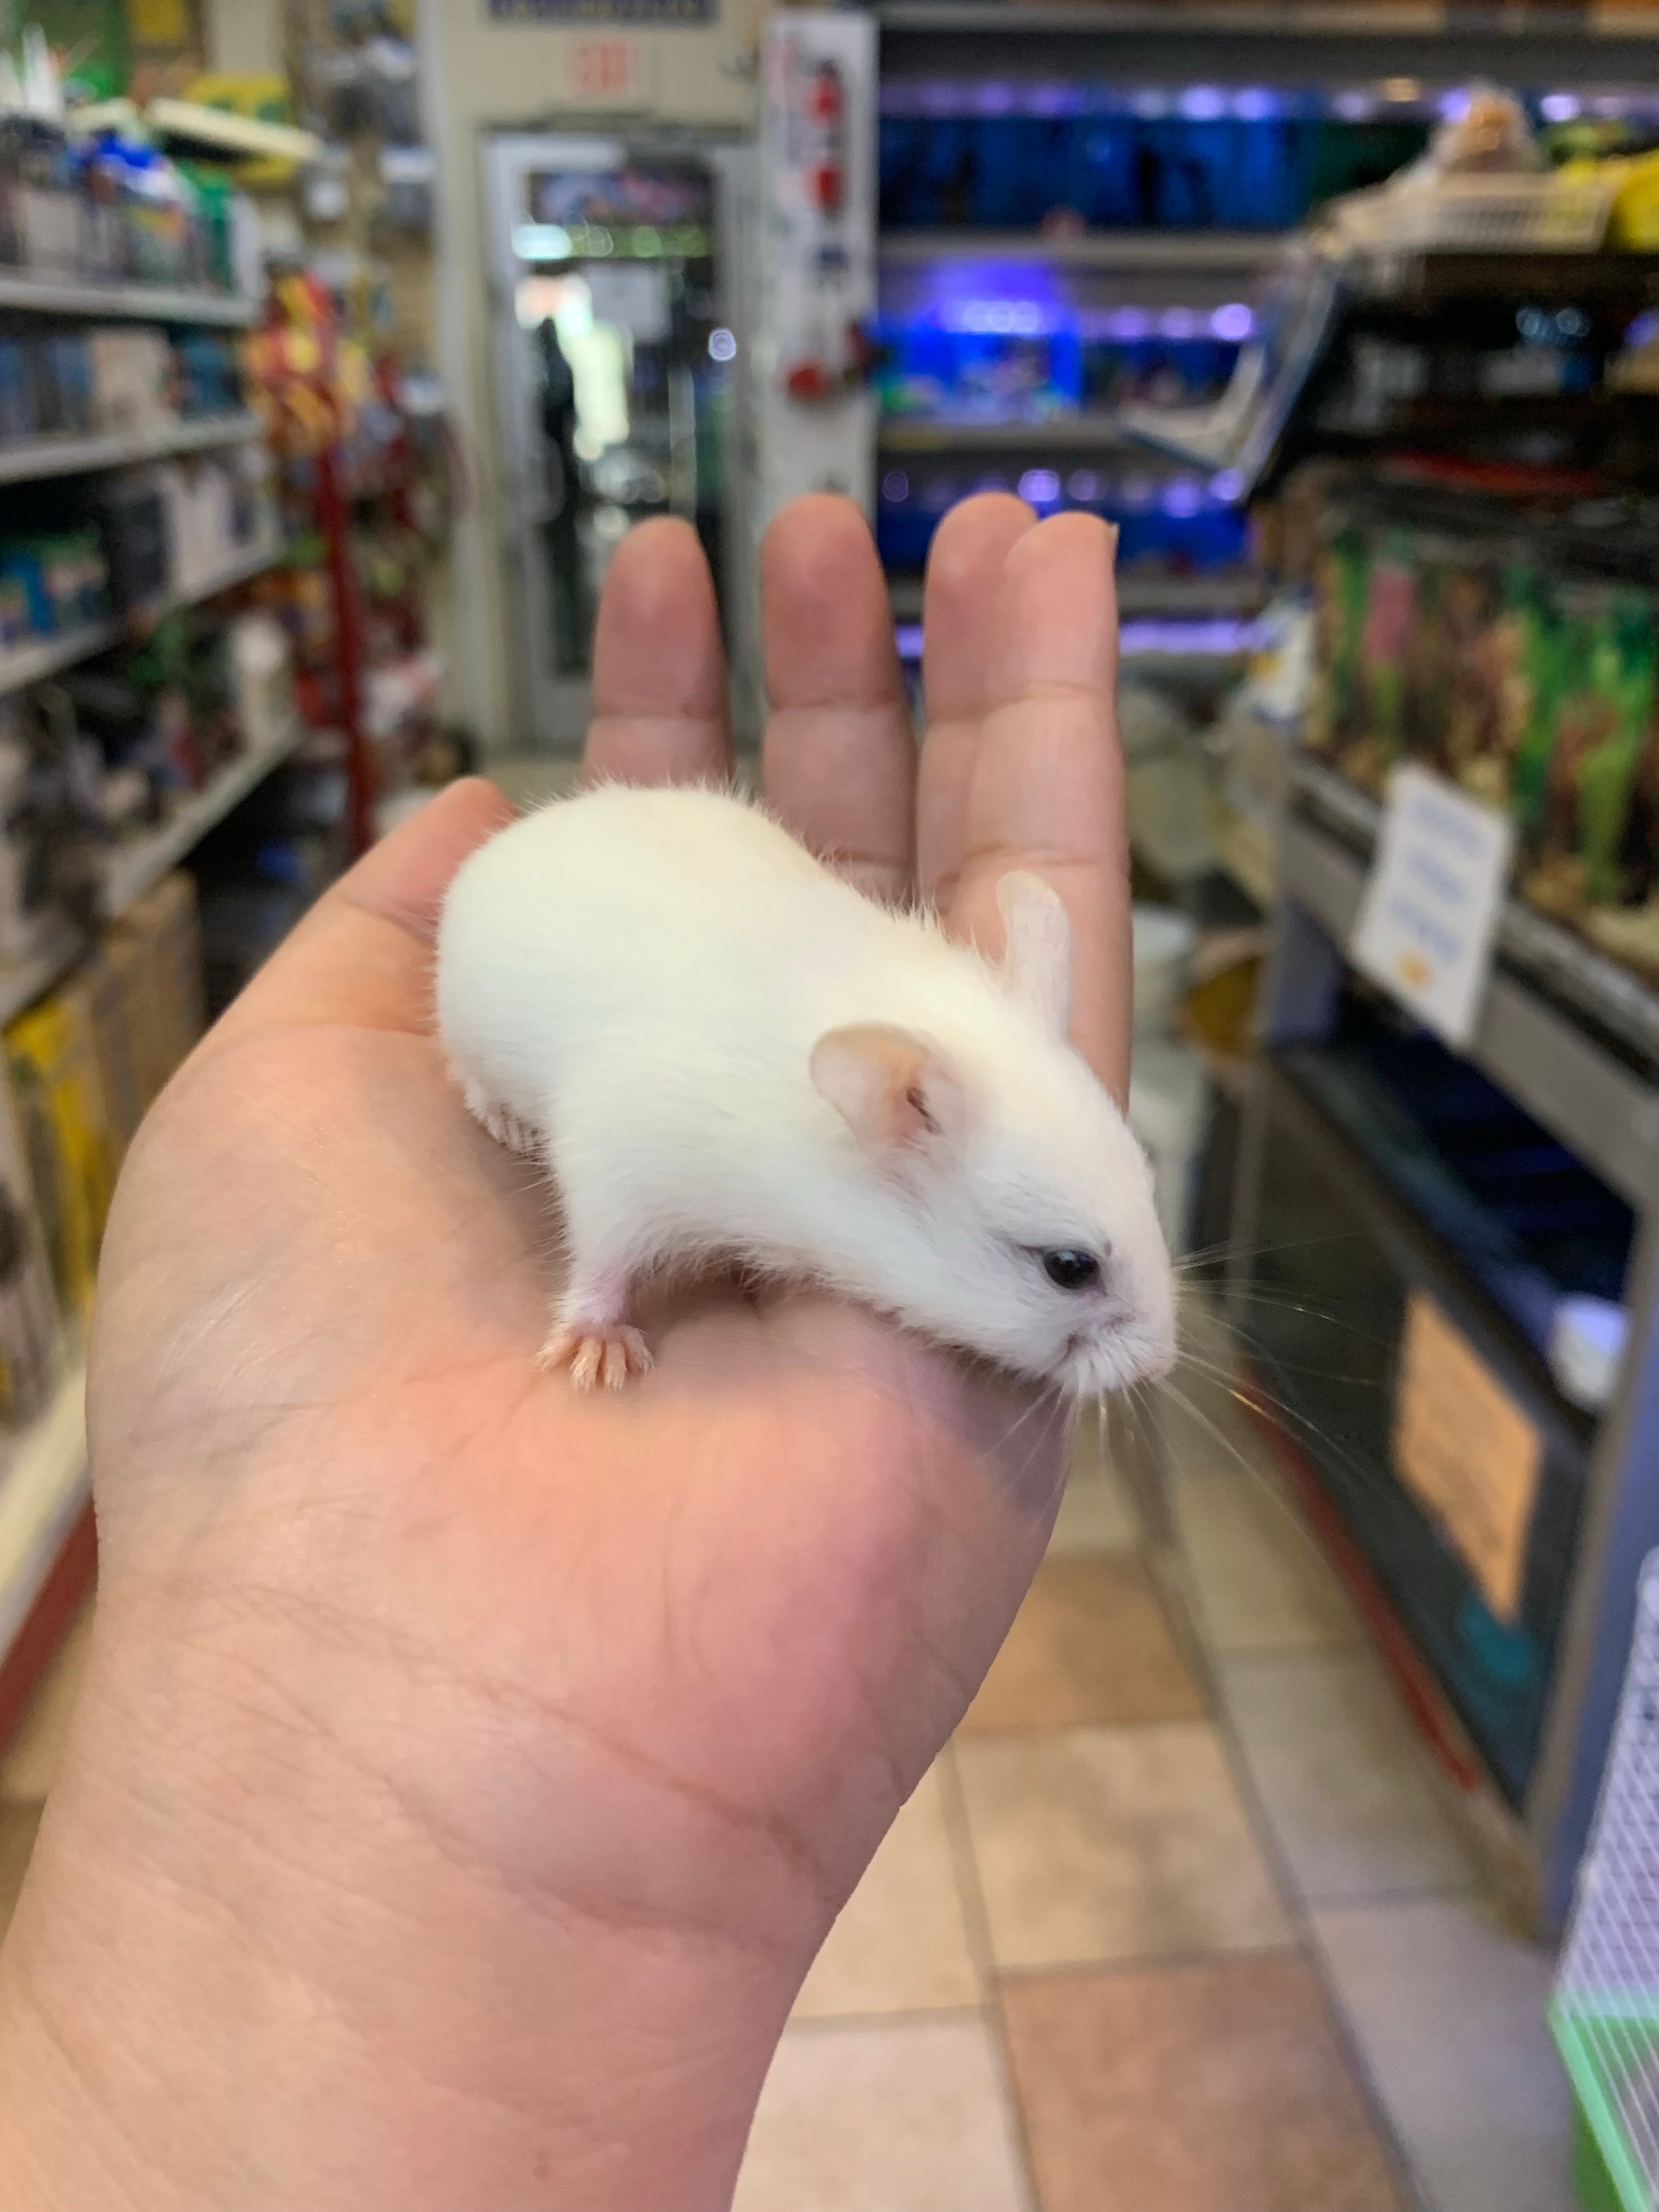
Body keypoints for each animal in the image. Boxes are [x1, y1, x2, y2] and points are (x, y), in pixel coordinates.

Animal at [436, 783, 1176, 1395]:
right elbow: (603, 1255)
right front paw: (598, 1353)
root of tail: (521, 831)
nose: (1162, 1363)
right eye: (1069, 1267)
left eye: (1152, 1190)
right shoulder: (624, 1156)